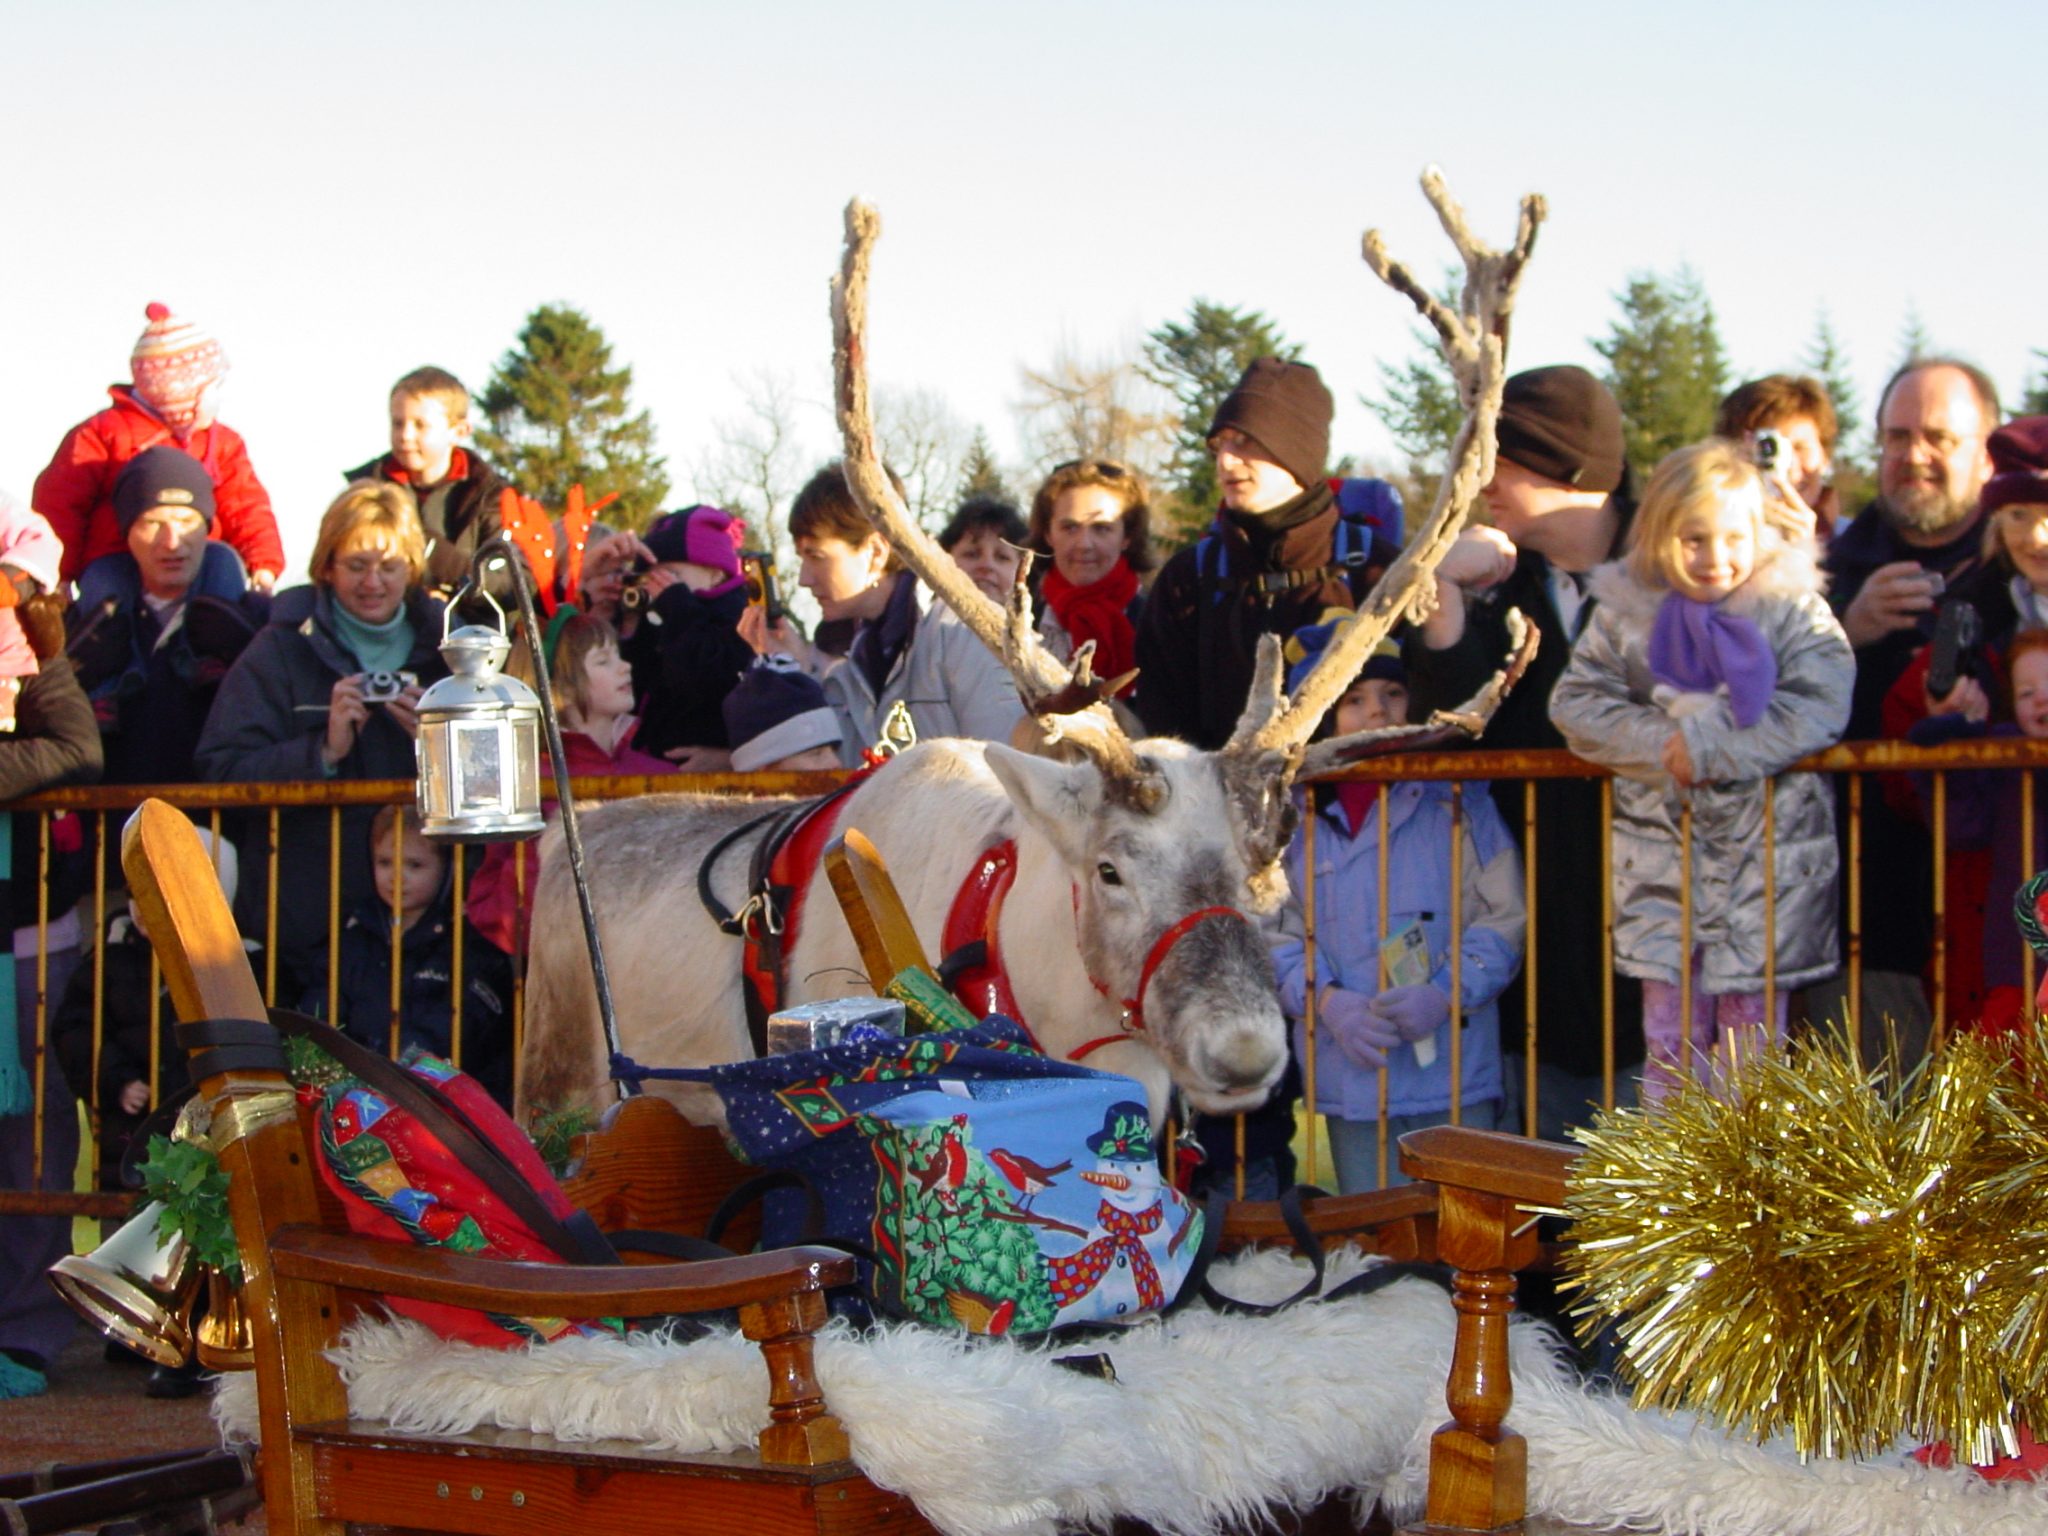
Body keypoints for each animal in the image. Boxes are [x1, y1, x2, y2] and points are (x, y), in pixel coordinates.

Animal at [519, 170, 1545, 1134]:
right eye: (1111, 870)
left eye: (1273, 879)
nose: (1247, 1053)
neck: (1037, 997)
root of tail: (563, 840)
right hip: (556, 1078)